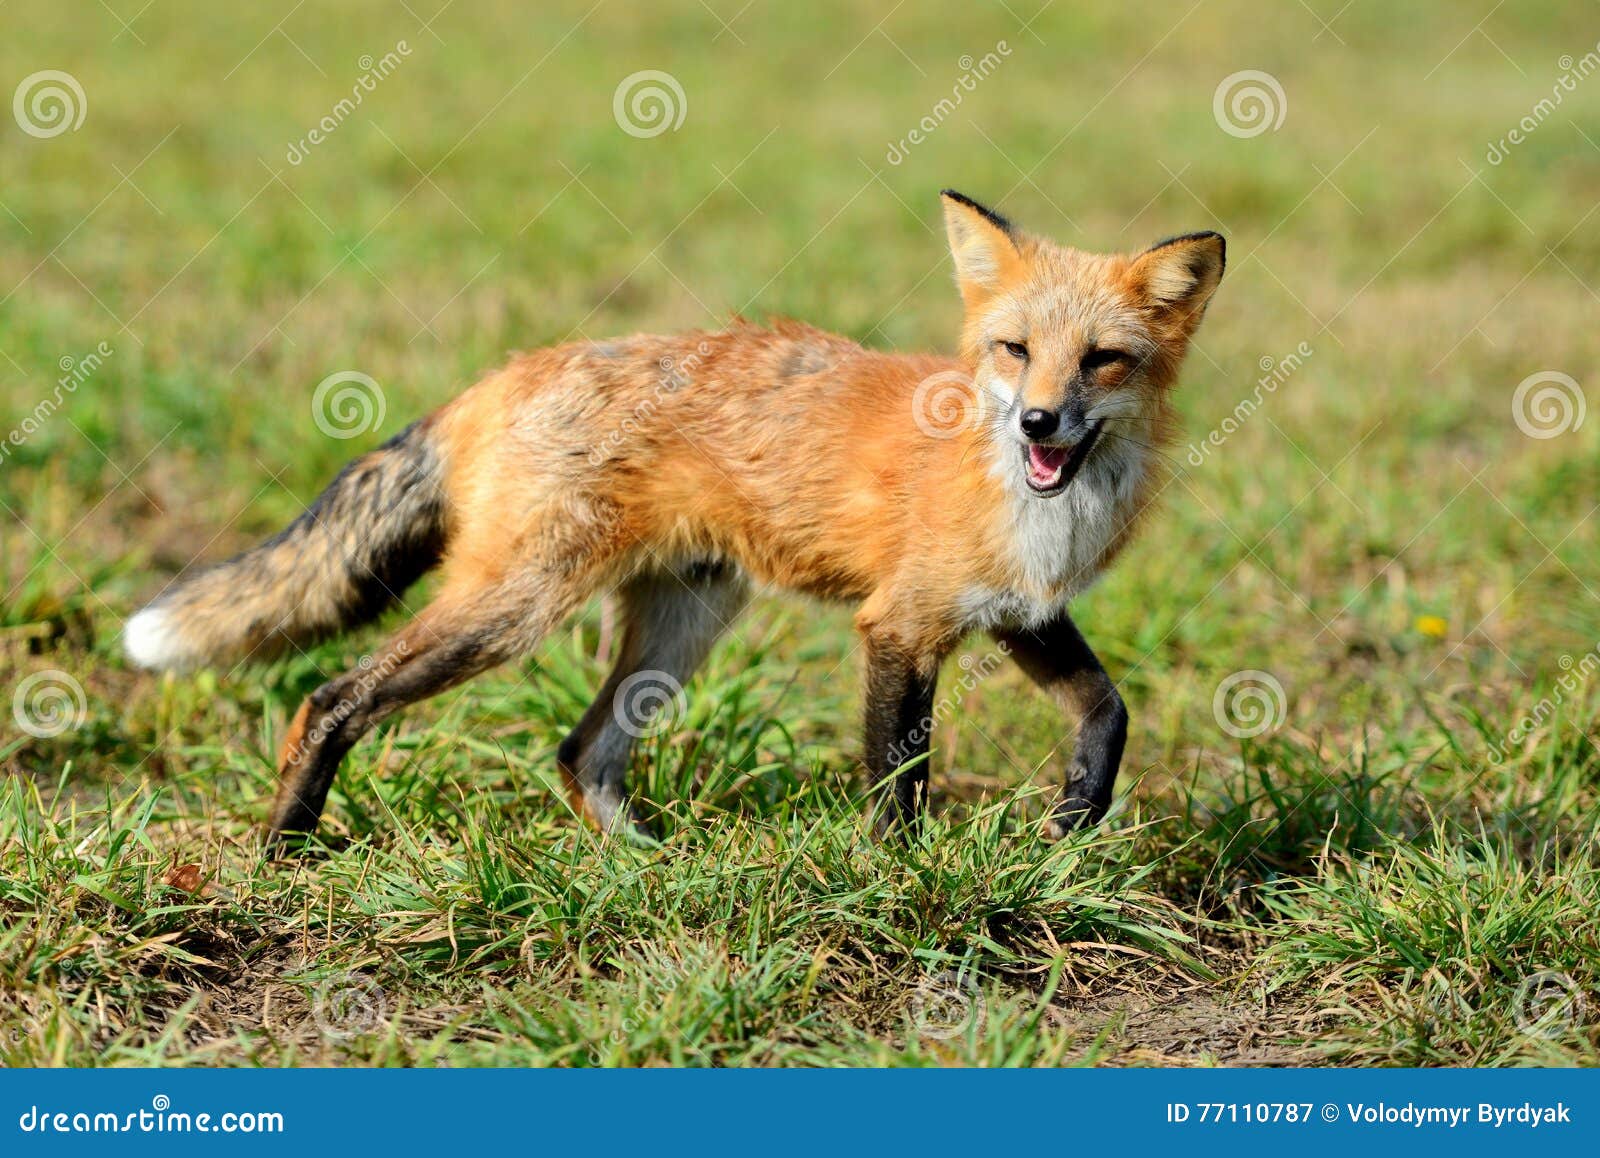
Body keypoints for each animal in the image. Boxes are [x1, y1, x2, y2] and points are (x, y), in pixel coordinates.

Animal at [124, 190, 1224, 852]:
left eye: (1101, 361)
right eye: (1014, 350)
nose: (1039, 421)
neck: (1042, 504)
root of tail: (499, 376)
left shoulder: (1016, 611)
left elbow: (1108, 711)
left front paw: (1074, 823)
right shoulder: (901, 626)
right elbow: (897, 783)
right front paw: (905, 886)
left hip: (683, 626)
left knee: (580, 754)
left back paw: (642, 870)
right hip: (513, 610)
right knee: (330, 697)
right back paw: (285, 848)